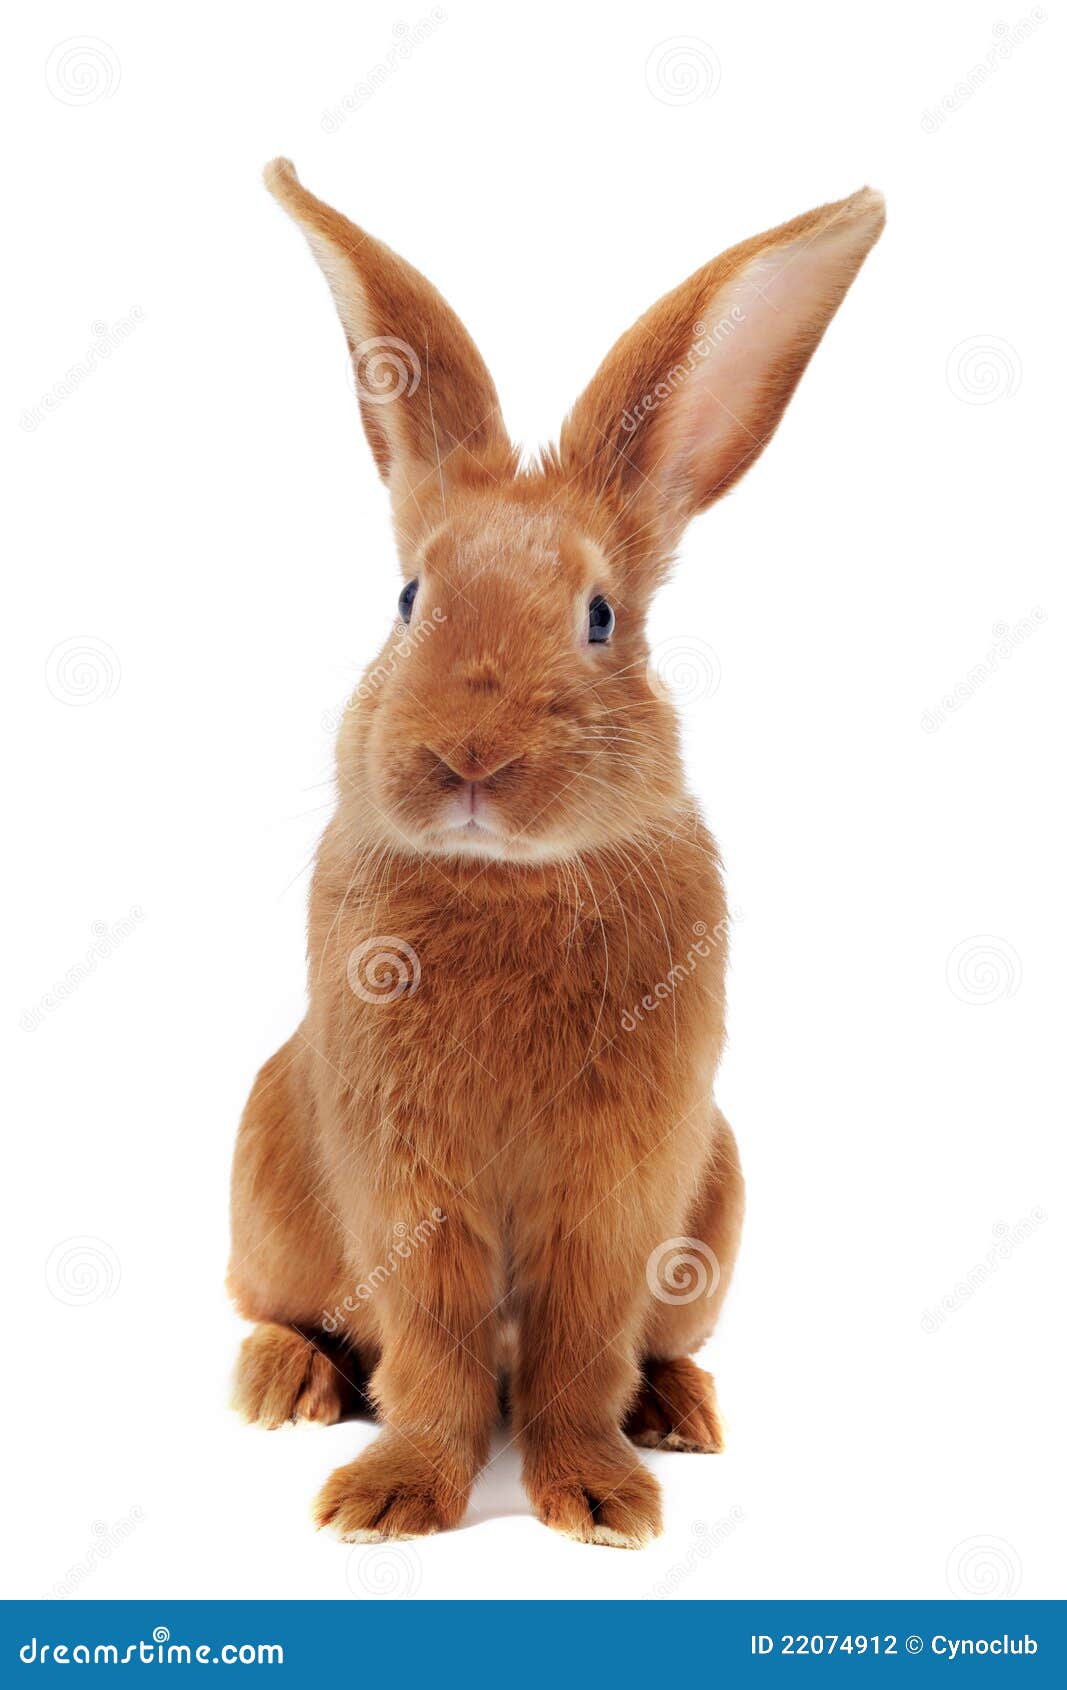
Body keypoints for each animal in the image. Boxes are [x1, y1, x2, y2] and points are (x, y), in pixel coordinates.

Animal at [228, 160, 884, 1547]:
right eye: (407, 600)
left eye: (597, 618)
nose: (469, 758)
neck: (507, 881)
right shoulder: (406, 1181)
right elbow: (428, 1348)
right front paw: (386, 1502)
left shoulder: (622, 1187)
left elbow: (583, 1346)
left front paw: (597, 1497)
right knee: (273, 1304)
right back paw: (282, 1384)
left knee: (658, 1341)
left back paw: (678, 1412)